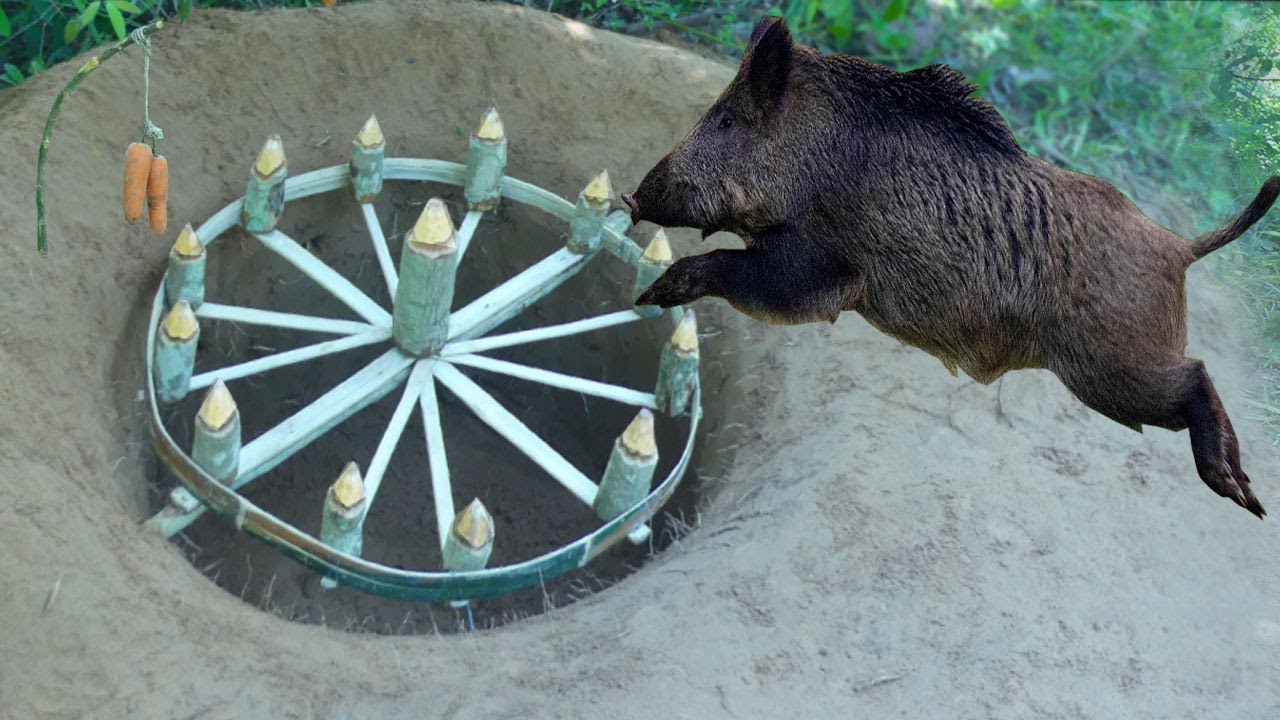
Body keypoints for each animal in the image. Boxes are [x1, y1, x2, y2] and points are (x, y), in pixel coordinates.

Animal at [624, 16, 1279, 518]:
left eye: (728, 120)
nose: (631, 198)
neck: (813, 161)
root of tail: (1179, 247)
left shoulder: (823, 272)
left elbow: (743, 272)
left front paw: (654, 292)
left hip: (1112, 365)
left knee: (1195, 375)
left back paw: (1243, 498)